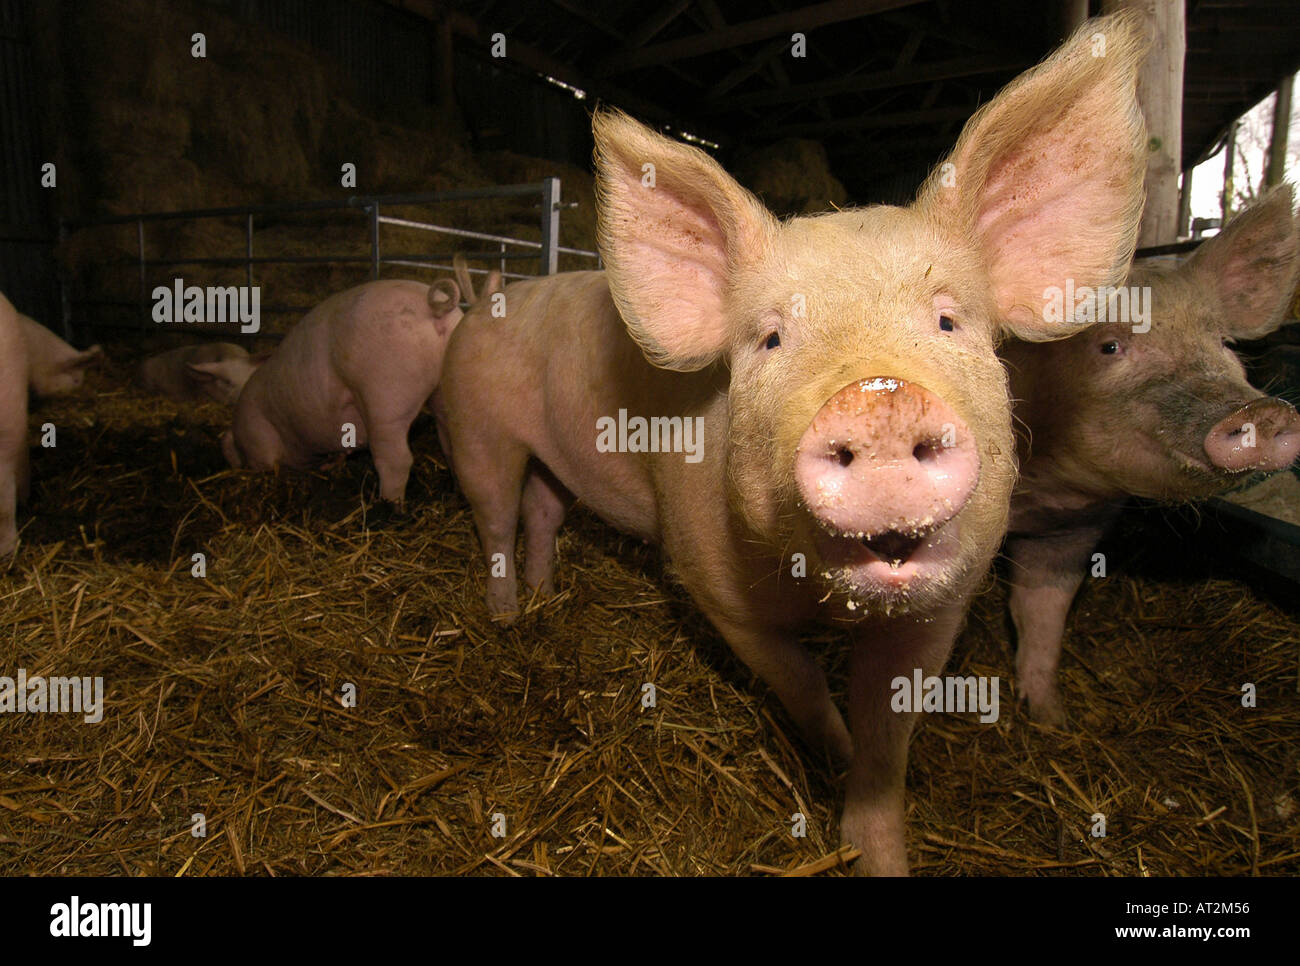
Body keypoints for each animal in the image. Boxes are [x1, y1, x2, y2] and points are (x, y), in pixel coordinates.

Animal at [219, 258, 499, 504]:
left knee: (396, 459)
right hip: (444, 390)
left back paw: (389, 506)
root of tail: (435, 308)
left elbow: (268, 465)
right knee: (451, 443)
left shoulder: (258, 438)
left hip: (385, 392)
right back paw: (457, 494)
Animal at [436, 14, 1148, 875]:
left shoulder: (938, 612)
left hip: (551, 456)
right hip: (474, 428)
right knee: (496, 520)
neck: (828, 600)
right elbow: (803, 684)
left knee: (542, 511)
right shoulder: (713, 588)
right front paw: (832, 753)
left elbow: (888, 735)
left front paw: (875, 844)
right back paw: (508, 616)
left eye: (948, 320)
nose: (880, 398)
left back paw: (544, 596)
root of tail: (481, 305)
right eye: (772, 338)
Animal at [1002, 185, 1300, 727]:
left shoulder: (1074, 529)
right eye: (1109, 346)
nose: (1262, 410)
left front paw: (1054, 719)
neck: (1045, 488)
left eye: (1222, 342)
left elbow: (1042, 614)